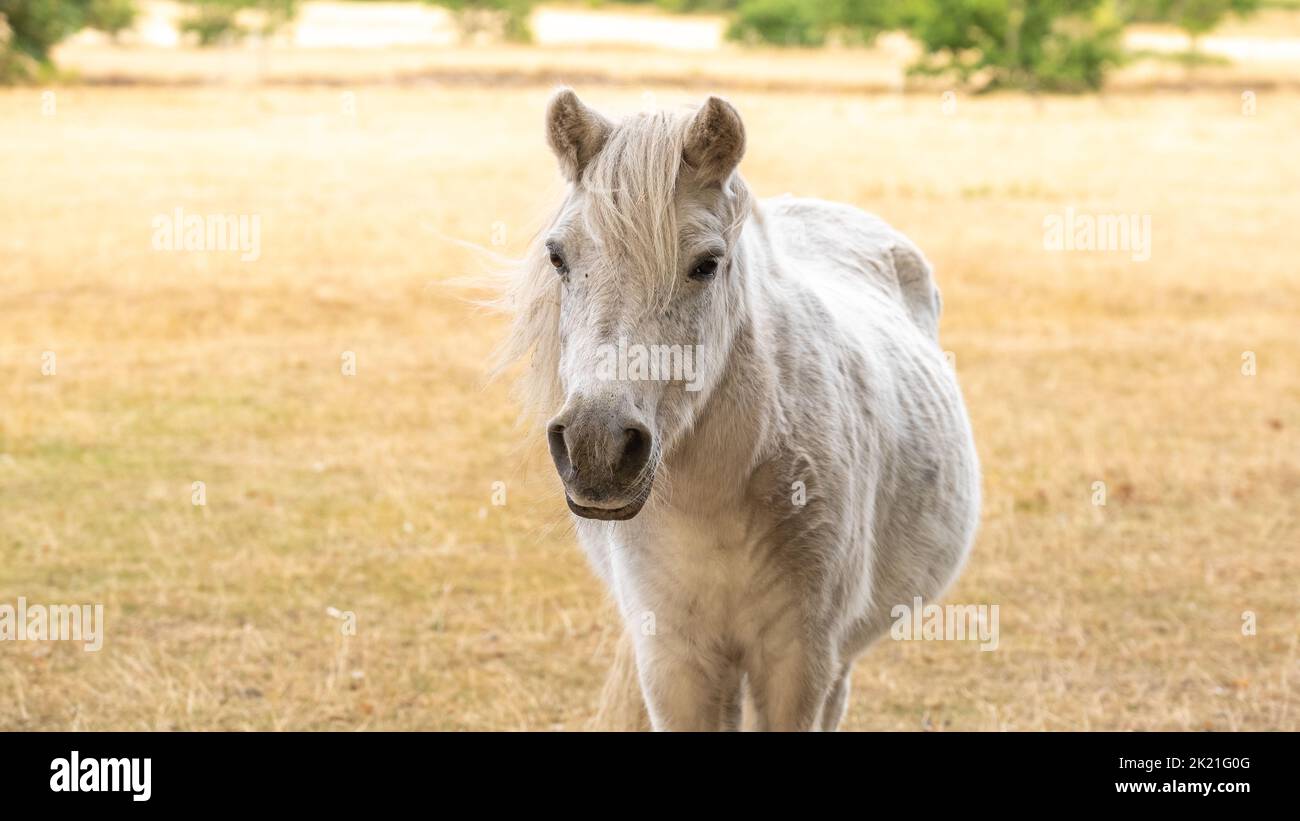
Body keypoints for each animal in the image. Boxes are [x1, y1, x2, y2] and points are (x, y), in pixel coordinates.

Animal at [501, 89, 981, 731]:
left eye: (707, 264)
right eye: (557, 257)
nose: (596, 448)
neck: (718, 501)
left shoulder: (798, 663)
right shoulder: (674, 663)